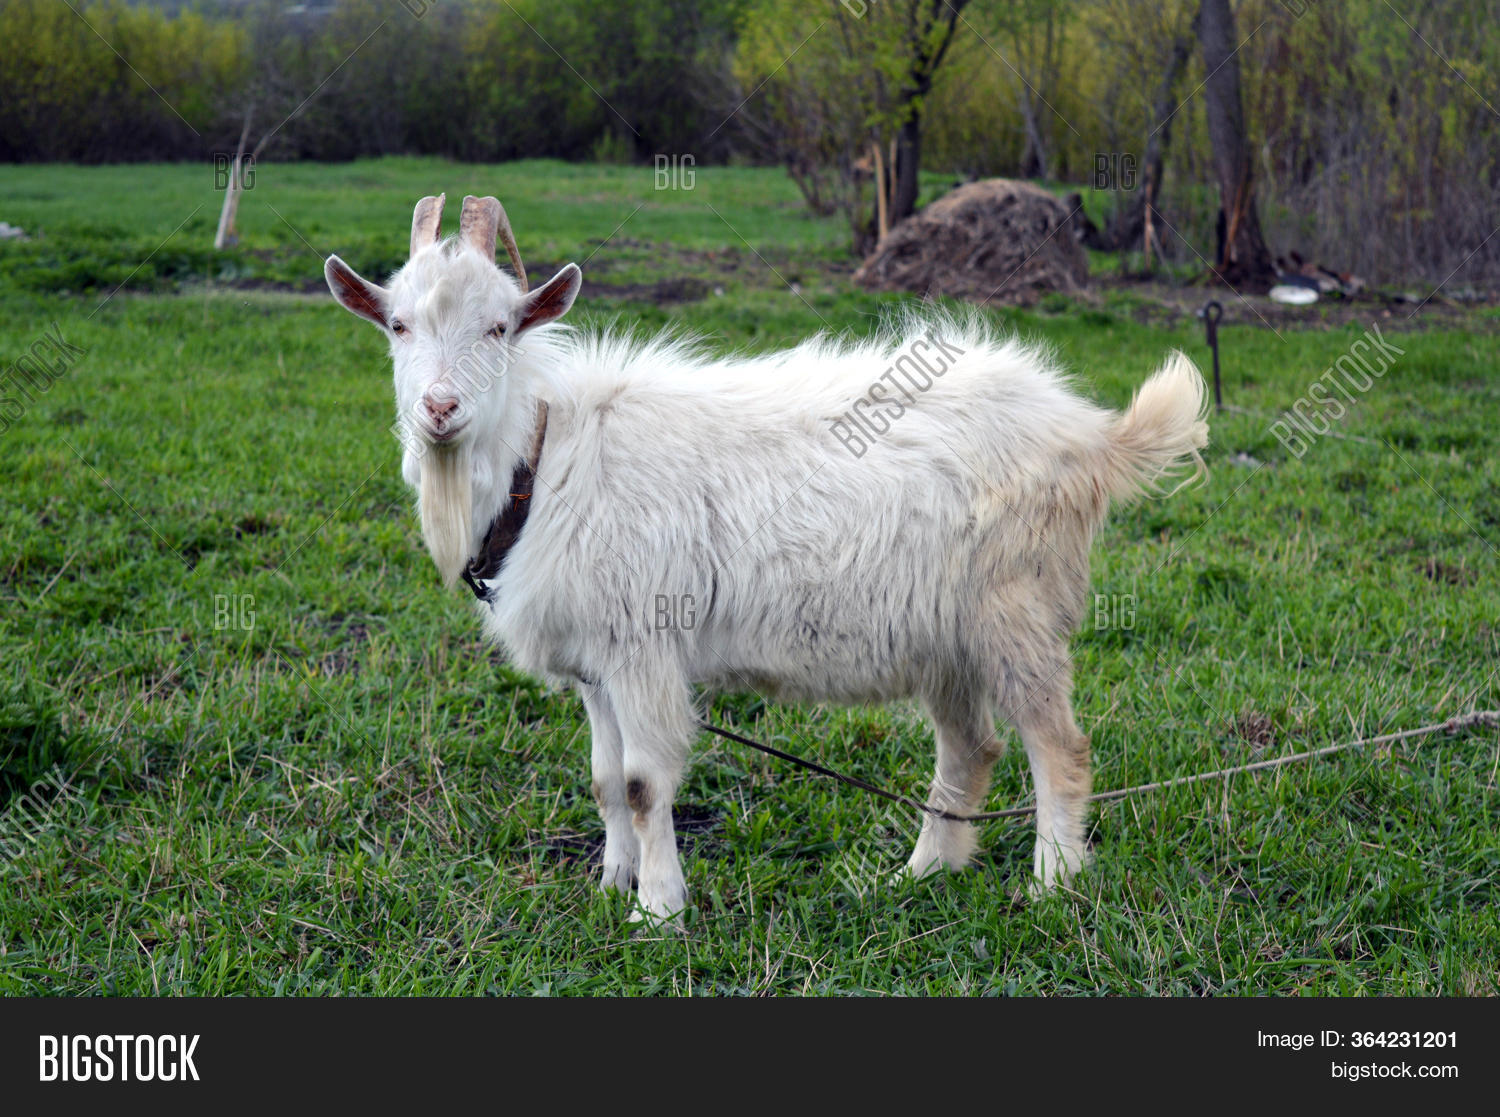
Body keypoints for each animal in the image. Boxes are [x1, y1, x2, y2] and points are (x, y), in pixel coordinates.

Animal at [325, 194, 1210, 926]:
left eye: (500, 326)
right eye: (397, 324)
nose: (440, 408)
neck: (544, 461)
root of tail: (1090, 434)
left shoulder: (643, 645)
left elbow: (644, 783)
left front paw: (659, 910)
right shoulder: (595, 662)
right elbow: (605, 779)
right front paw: (612, 883)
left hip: (1015, 611)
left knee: (1058, 744)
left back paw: (1054, 880)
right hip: (944, 632)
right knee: (972, 747)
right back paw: (925, 871)